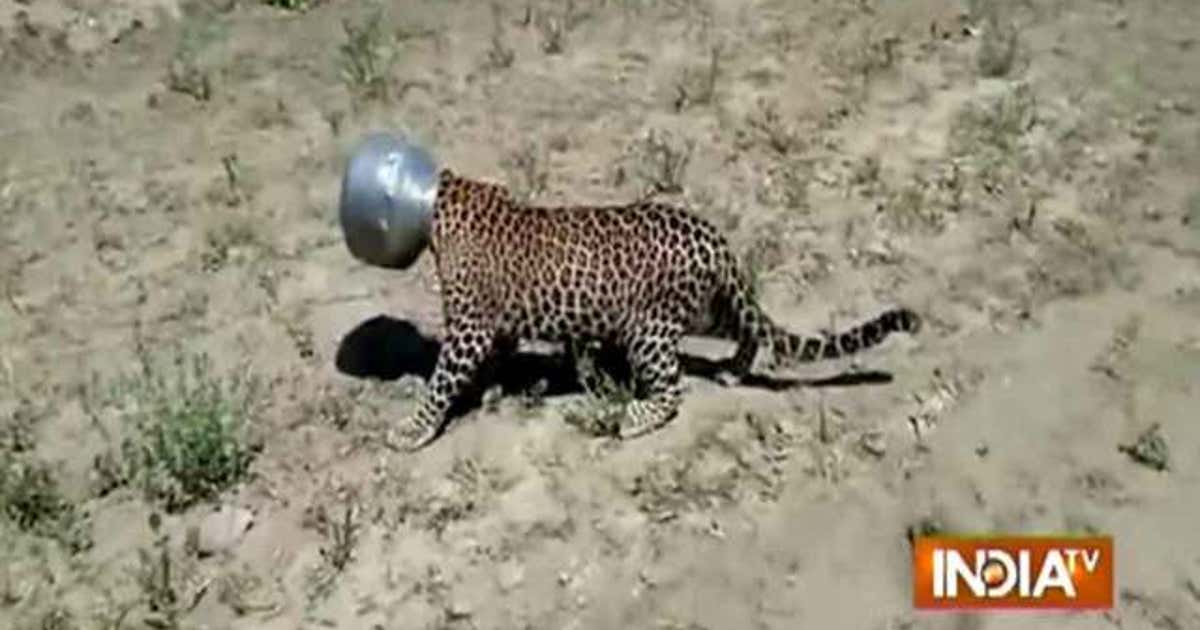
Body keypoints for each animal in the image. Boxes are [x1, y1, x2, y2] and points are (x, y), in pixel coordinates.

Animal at [387, 169, 921, 451]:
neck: (443, 201)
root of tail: (713, 238)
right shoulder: (495, 324)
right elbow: (493, 358)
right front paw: (489, 390)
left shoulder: (469, 328)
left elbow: (442, 380)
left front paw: (413, 428)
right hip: (704, 306)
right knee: (746, 328)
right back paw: (733, 371)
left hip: (647, 328)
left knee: (673, 387)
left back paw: (635, 416)